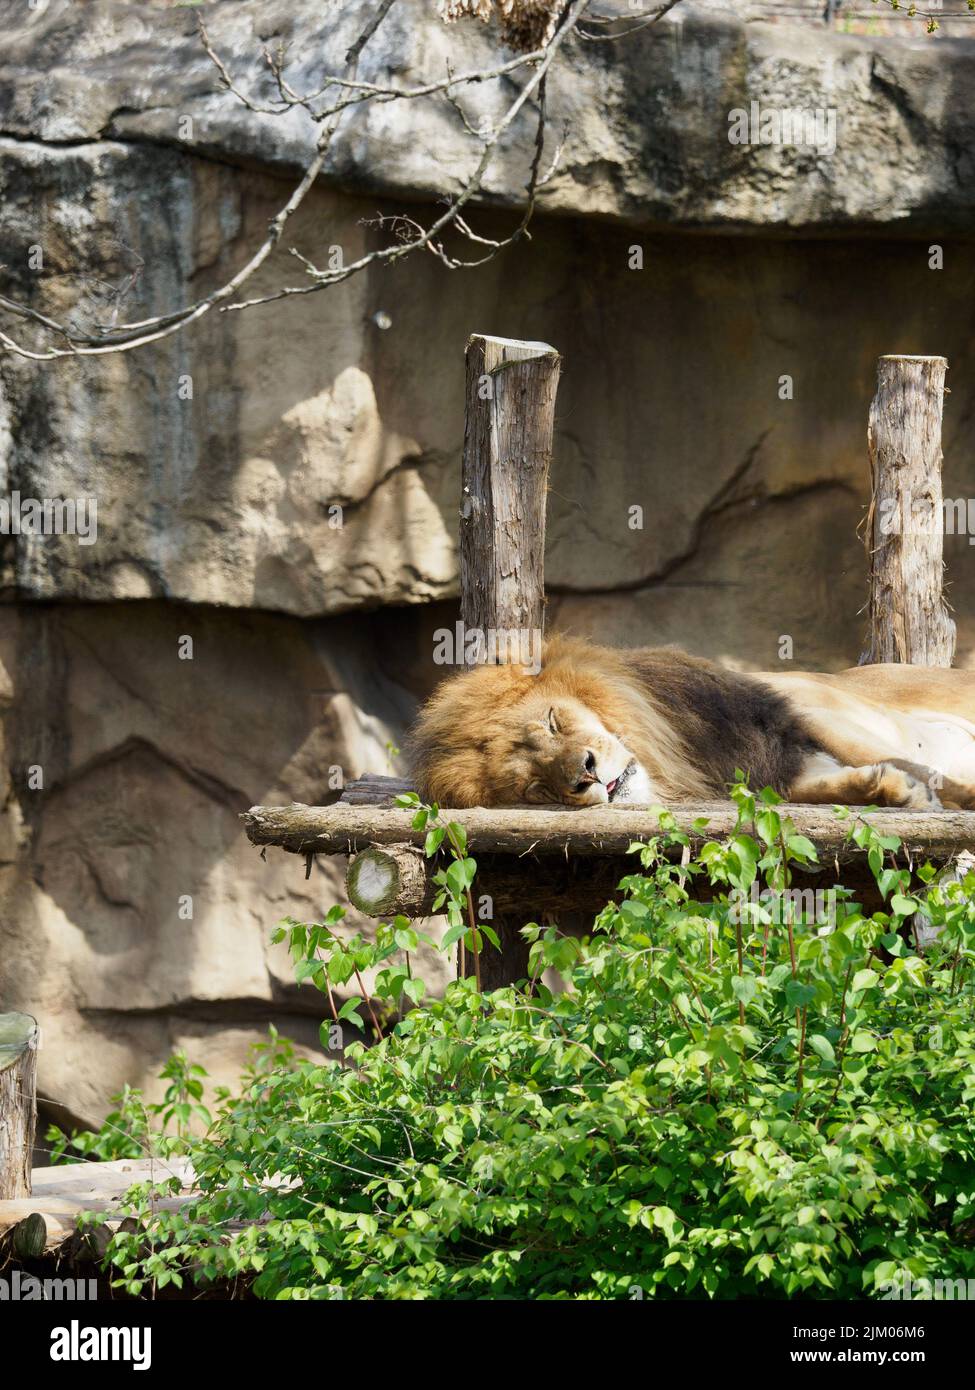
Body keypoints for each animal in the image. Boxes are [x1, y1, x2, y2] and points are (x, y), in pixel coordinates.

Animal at [408, 634, 975, 810]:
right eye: (535, 789)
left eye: (551, 723)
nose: (585, 774)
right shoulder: (776, 770)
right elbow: (827, 786)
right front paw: (896, 790)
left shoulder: (805, 708)